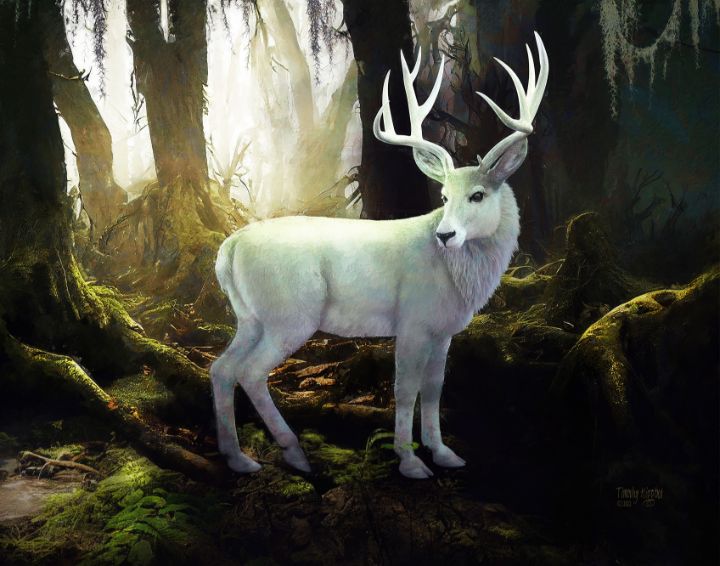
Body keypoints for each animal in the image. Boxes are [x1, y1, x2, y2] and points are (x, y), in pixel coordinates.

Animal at [210, 32, 548, 479]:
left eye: (477, 195)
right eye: (444, 196)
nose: (445, 234)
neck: (455, 278)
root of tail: (229, 248)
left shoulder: (442, 330)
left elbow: (434, 388)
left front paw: (444, 453)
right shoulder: (413, 321)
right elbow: (404, 390)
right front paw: (410, 461)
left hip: (250, 316)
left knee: (221, 368)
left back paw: (239, 458)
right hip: (290, 314)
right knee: (249, 372)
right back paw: (293, 453)